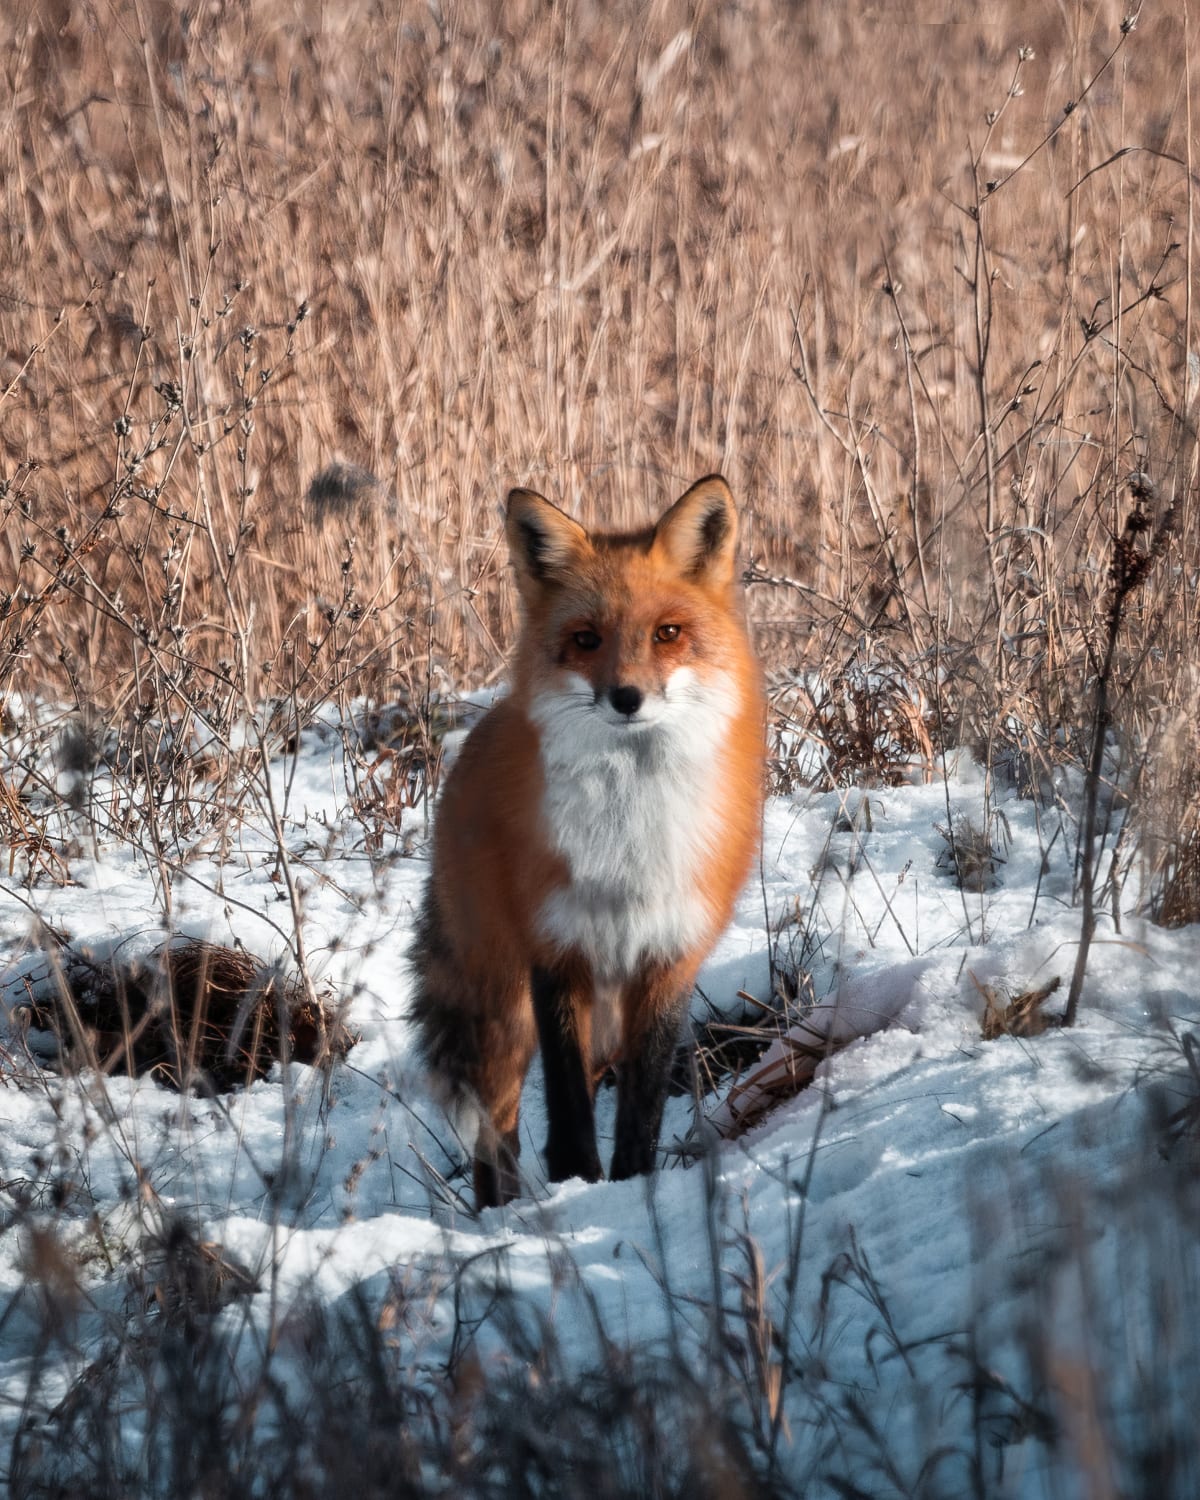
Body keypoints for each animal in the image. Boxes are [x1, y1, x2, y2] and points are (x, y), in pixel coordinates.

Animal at [407, 475, 765, 1208]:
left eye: (668, 634)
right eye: (586, 639)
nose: (626, 697)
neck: (630, 839)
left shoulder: (668, 957)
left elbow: (643, 1103)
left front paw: (630, 1187)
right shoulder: (556, 949)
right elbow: (568, 1104)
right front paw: (579, 1183)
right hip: (503, 1012)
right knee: (496, 1130)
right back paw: (499, 1215)